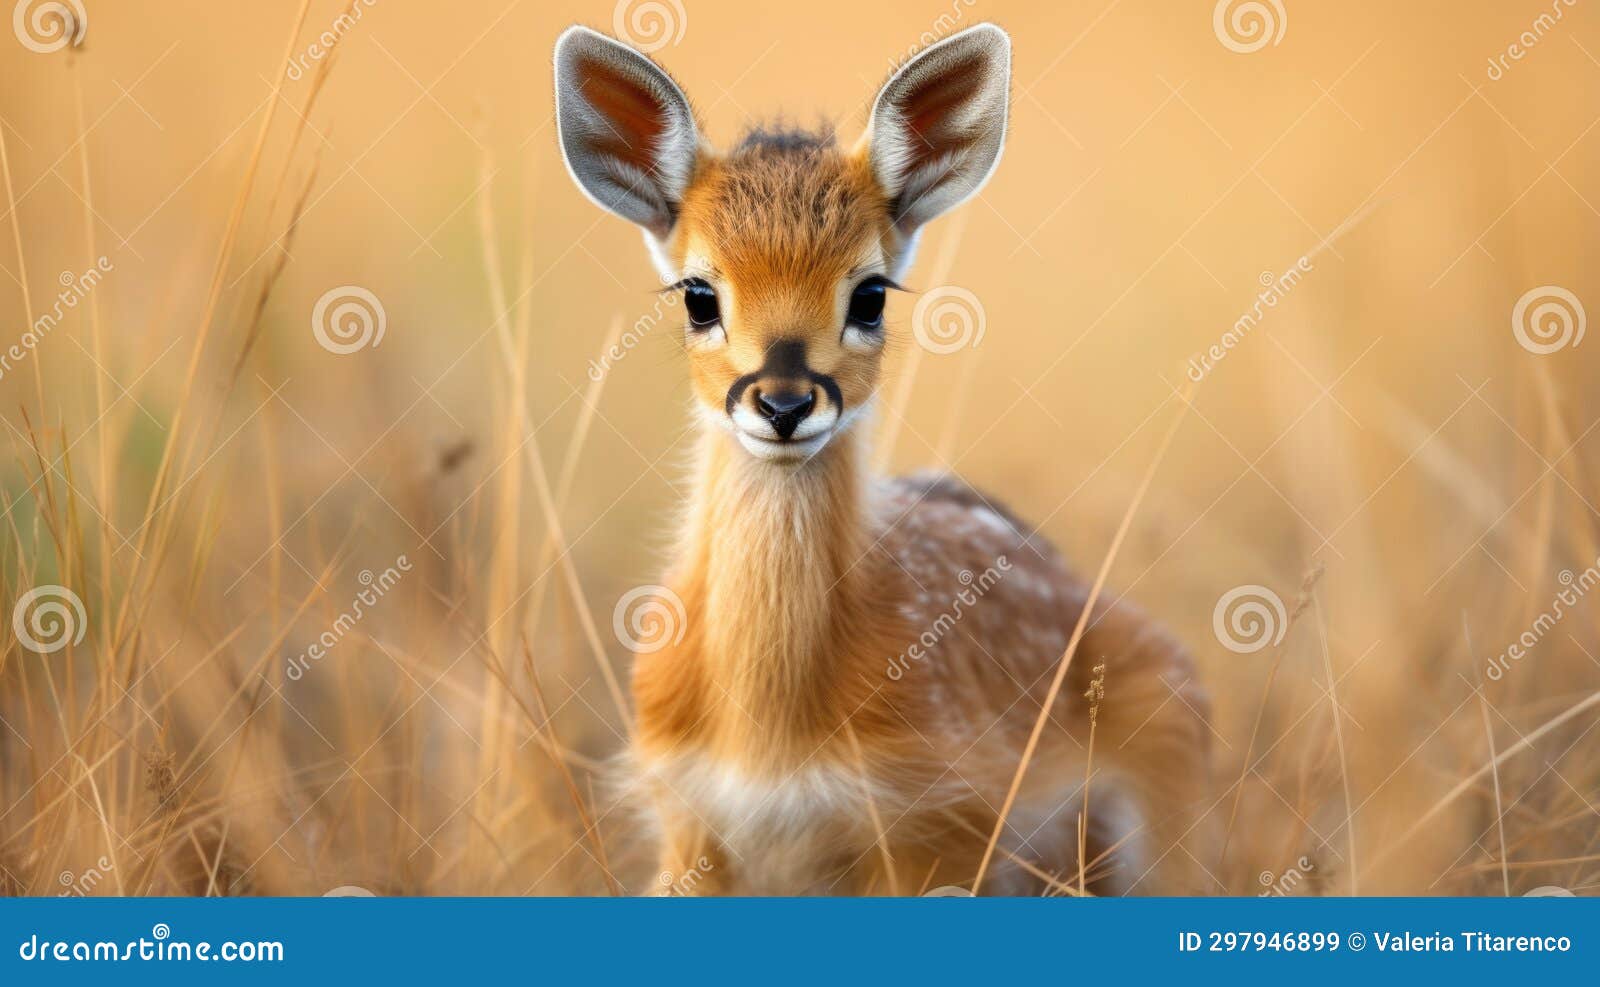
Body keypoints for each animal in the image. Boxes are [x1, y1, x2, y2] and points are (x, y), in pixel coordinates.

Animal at [554, 22, 1211, 895]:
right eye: (698, 295)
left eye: (869, 294)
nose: (785, 403)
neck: (772, 737)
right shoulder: (682, 820)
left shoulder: (943, 821)